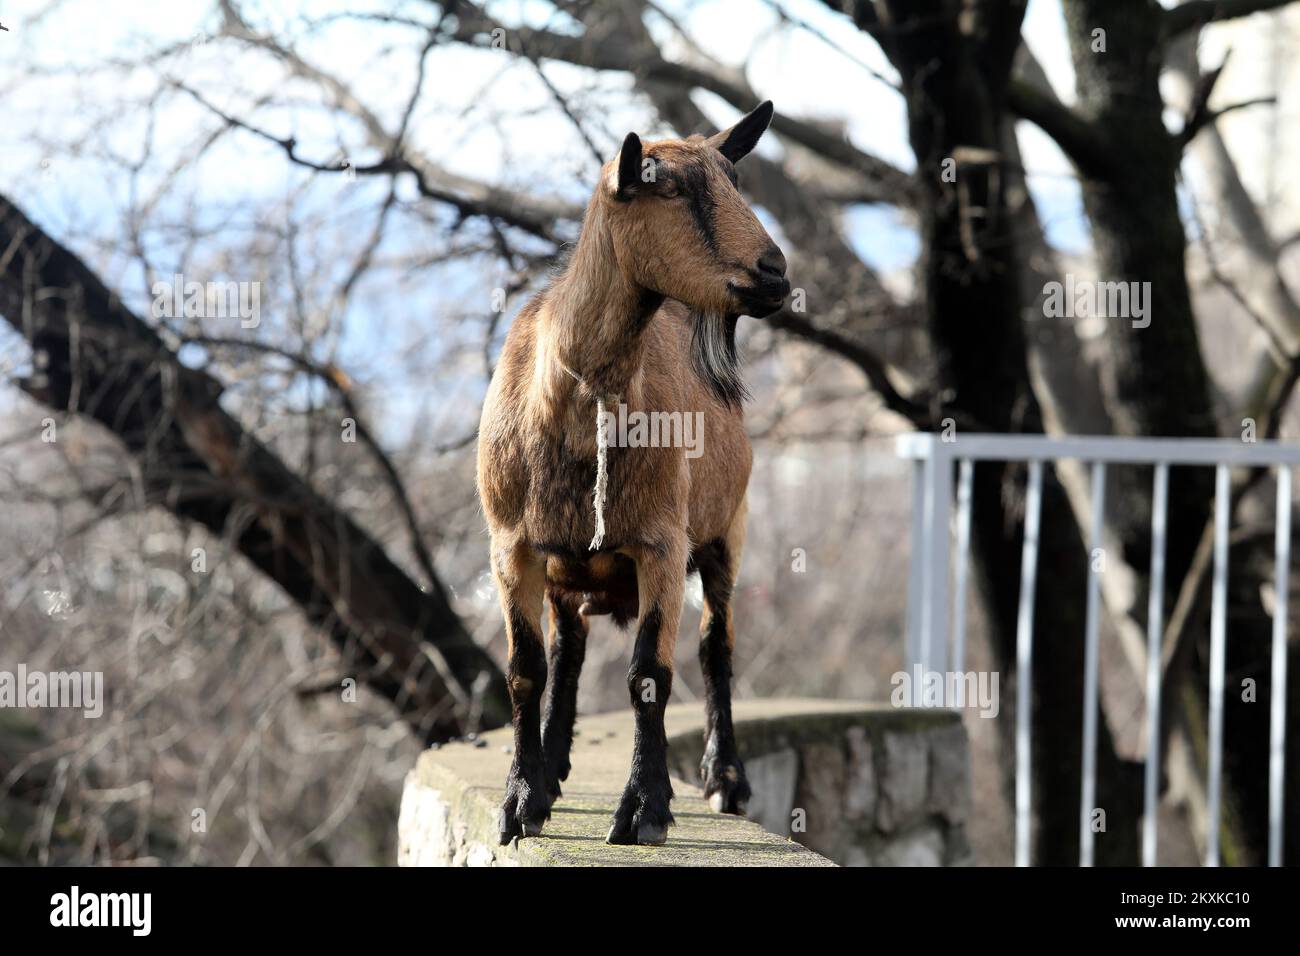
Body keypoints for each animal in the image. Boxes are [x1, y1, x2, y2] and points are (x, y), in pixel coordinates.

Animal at [476, 102, 789, 846]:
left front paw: (644, 810)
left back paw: (724, 780)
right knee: (569, 650)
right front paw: (519, 803)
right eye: (667, 187)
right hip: (567, 566)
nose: (775, 272)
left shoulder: (662, 544)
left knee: (715, 647)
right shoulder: (511, 547)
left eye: (733, 178)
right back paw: (552, 767)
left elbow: (651, 673)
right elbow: (526, 671)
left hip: (728, 532)